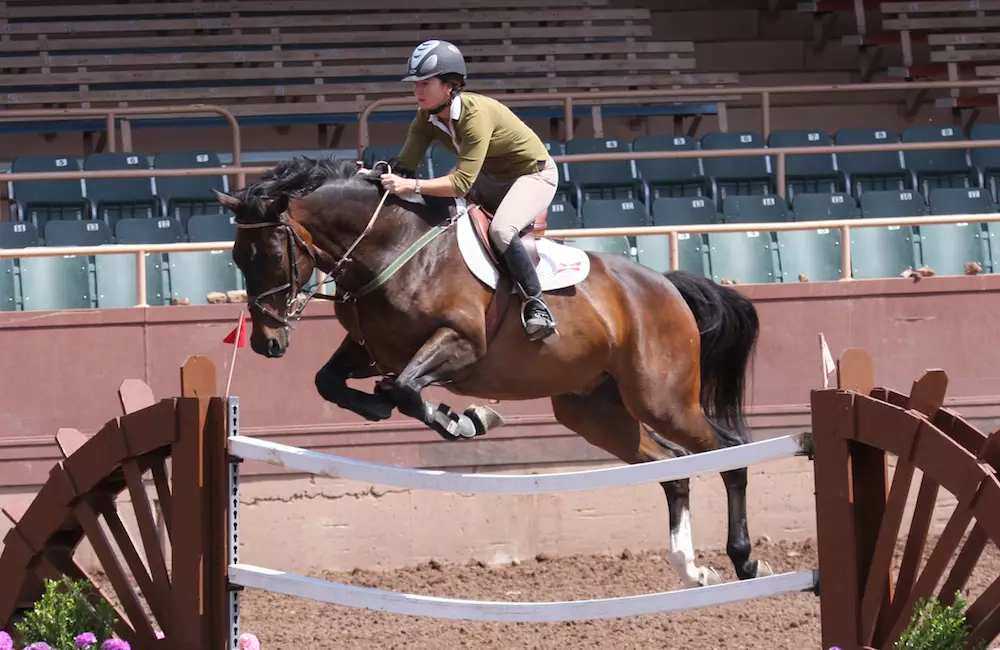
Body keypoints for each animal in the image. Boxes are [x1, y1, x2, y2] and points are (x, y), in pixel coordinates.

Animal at [215, 156, 768, 588]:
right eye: (238, 256)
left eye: (271, 253)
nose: (266, 343)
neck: (392, 248)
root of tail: (666, 286)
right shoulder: (371, 350)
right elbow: (336, 383)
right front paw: (427, 414)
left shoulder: (461, 343)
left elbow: (406, 390)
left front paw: (465, 420)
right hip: (593, 411)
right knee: (672, 468)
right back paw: (690, 569)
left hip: (662, 399)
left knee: (729, 452)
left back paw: (744, 560)